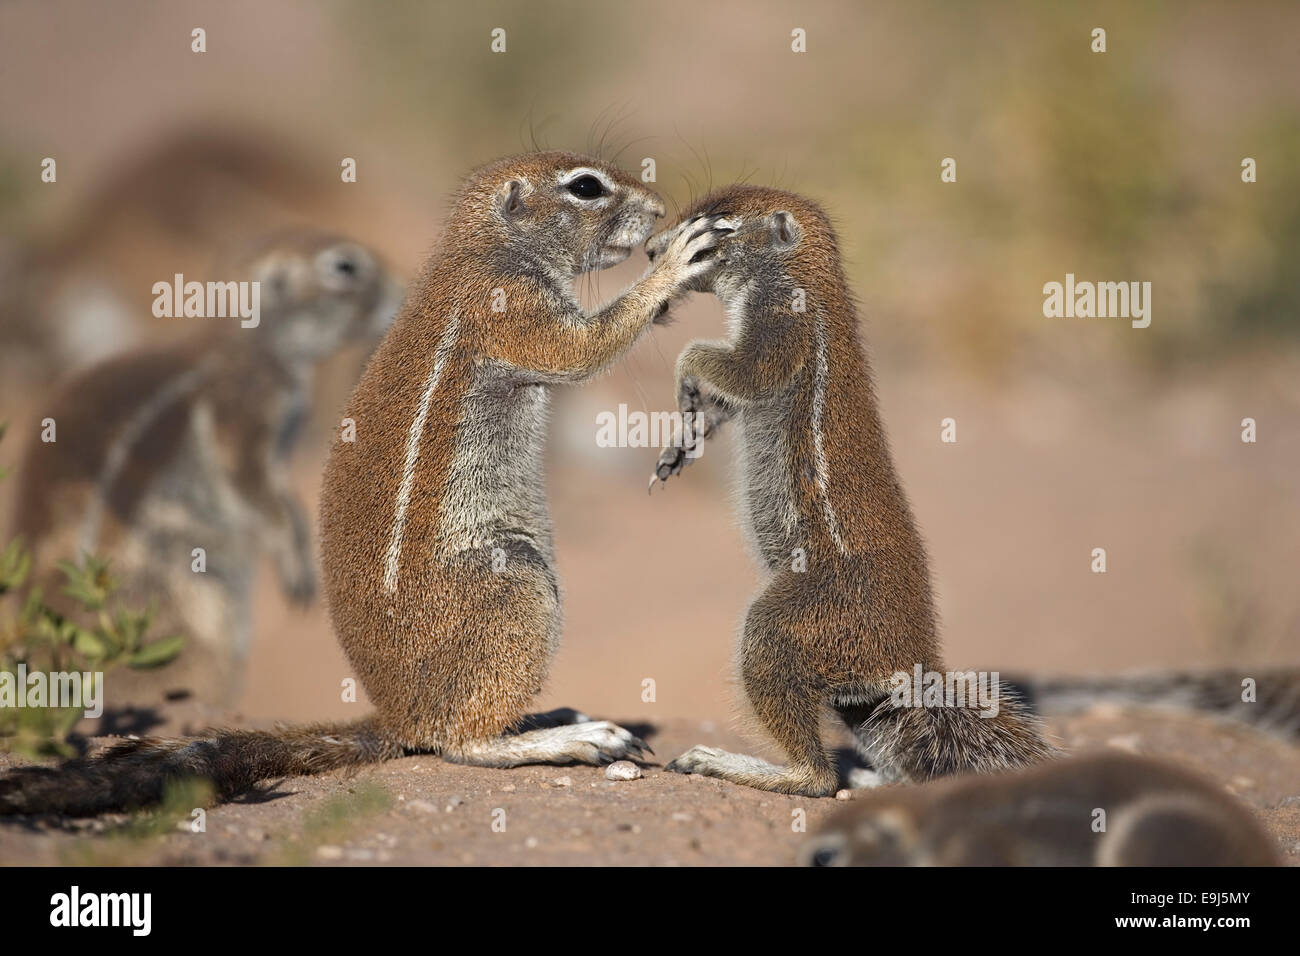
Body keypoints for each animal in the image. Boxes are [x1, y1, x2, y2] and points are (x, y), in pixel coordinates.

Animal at [11, 228, 404, 713]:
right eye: (344, 266)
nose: (400, 289)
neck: (248, 344)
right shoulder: (242, 417)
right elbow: (255, 493)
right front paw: (295, 564)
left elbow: (282, 497)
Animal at [646, 185, 1055, 796]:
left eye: (717, 226)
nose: (651, 251)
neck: (803, 278)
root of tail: (911, 665)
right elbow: (722, 398)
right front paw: (682, 440)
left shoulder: (782, 331)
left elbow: (733, 367)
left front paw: (685, 377)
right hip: (862, 704)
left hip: (785, 626)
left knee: (817, 777)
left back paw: (732, 763)